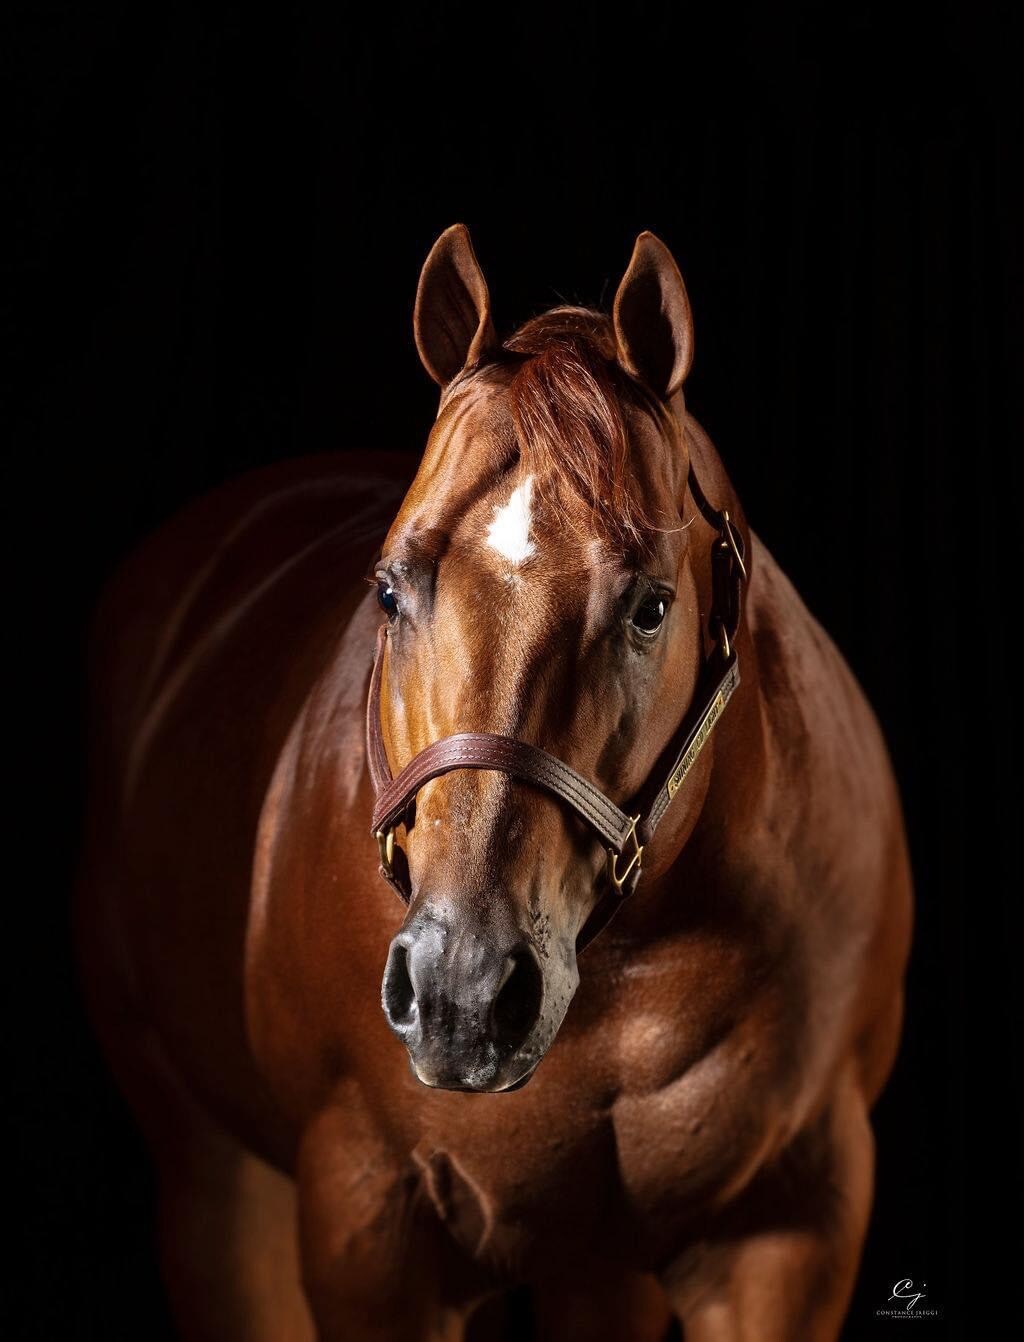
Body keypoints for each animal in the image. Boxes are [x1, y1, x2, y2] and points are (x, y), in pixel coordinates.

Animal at [76, 224, 913, 1341]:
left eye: (650, 606)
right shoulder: (367, 1227)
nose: (462, 991)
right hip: (215, 1187)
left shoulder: (789, 1234)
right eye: (391, 589)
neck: (622, 982)